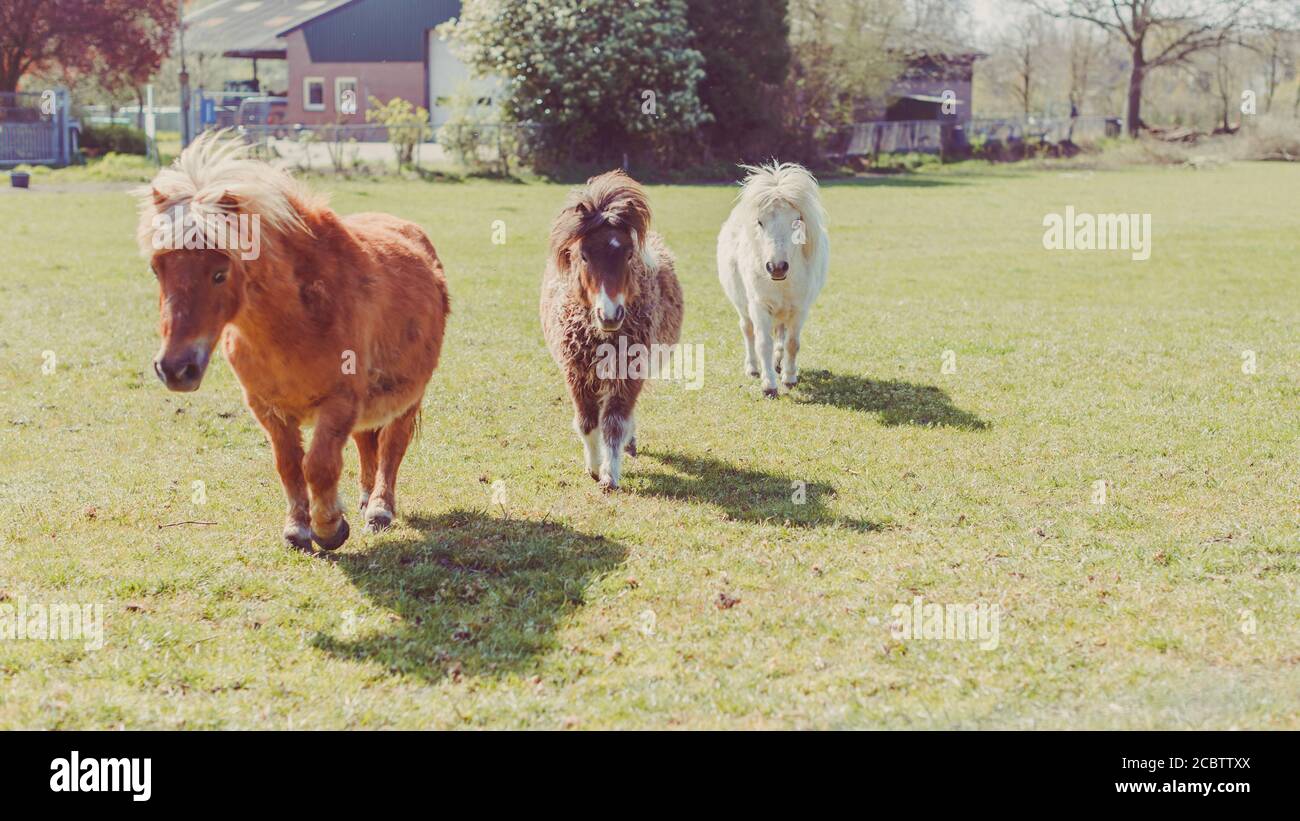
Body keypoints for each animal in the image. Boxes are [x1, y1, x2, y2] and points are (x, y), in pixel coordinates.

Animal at [135, 132, 449, 551]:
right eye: (157, 269)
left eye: (220, 272)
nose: (174, 369)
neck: (294, 323)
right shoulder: (268, 407)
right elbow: (288, 465)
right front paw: (298, 529)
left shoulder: (339, 401)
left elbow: (319, 465)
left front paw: (329, 528)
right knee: (367, 444)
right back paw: (366, 500)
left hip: (408, 397)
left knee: (391, 448)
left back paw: (380, 509)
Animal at [540, 170, 684, 491]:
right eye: (583, 255)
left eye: (628, 254)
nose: (610, 314)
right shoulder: (577, 374)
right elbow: (587, 423)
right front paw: (593, 467)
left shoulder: (629, 372)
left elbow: (614, 424)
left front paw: (609, 474)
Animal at [716, 161, 829, 397]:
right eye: (760, 222)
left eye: (797, 221)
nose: (776, 267)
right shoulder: (759, 306)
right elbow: (763, 344)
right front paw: (769, 386)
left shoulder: (799, 308)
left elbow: (792, 344)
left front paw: (789, 378)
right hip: (742, 305)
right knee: (747, 330)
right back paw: (752, 367)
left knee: (780, 333)